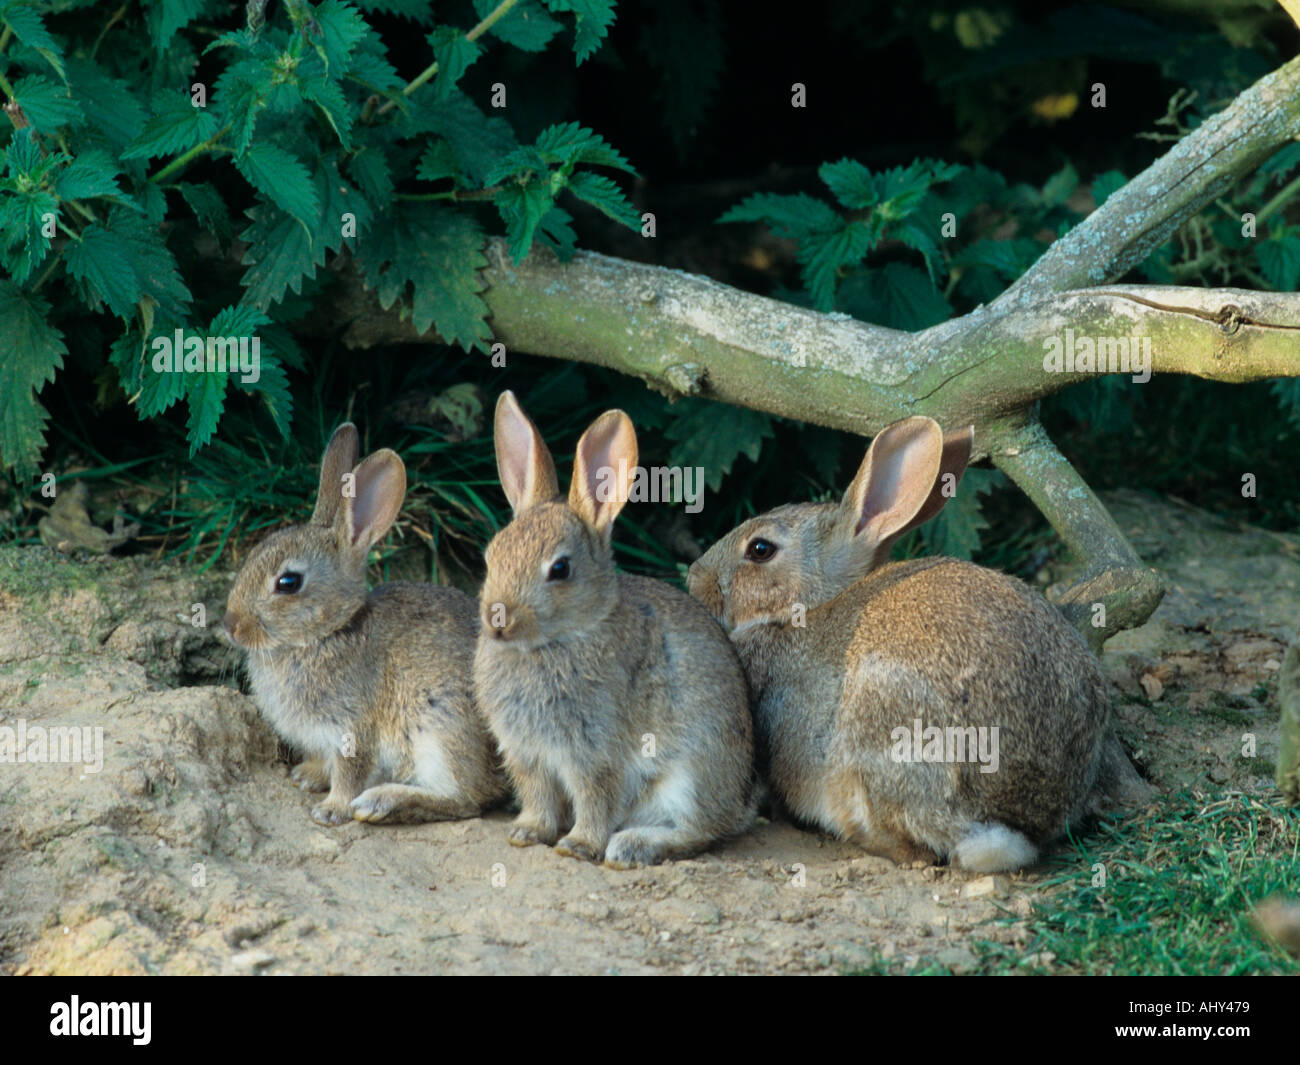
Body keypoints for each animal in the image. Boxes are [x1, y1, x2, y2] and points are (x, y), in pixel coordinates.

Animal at [222, 422, 507, 826]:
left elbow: (349, 773)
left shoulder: (352, 729)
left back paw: (382, 803)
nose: (230, 626)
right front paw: (307, 777)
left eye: (288, 582)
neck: (329, 632)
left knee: (466, 800)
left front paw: (330, 810)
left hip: (441, 728)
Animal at [472, 391, 755, 868]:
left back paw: (632, 846)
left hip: (691, 774)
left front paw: (578, 845)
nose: (498, 620)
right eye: (492, 556)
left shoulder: (594, 750)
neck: (558, 640)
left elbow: (594, 797)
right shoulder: (527, 753)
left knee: (699, 830)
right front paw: (527, 833)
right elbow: (538, 794)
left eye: (560, 570)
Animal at [687, 415, 1149, 874]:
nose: (694, 578)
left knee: (912, 844)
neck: (807, 607)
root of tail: (1009, 823)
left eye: (760, 549)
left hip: (881, 731)